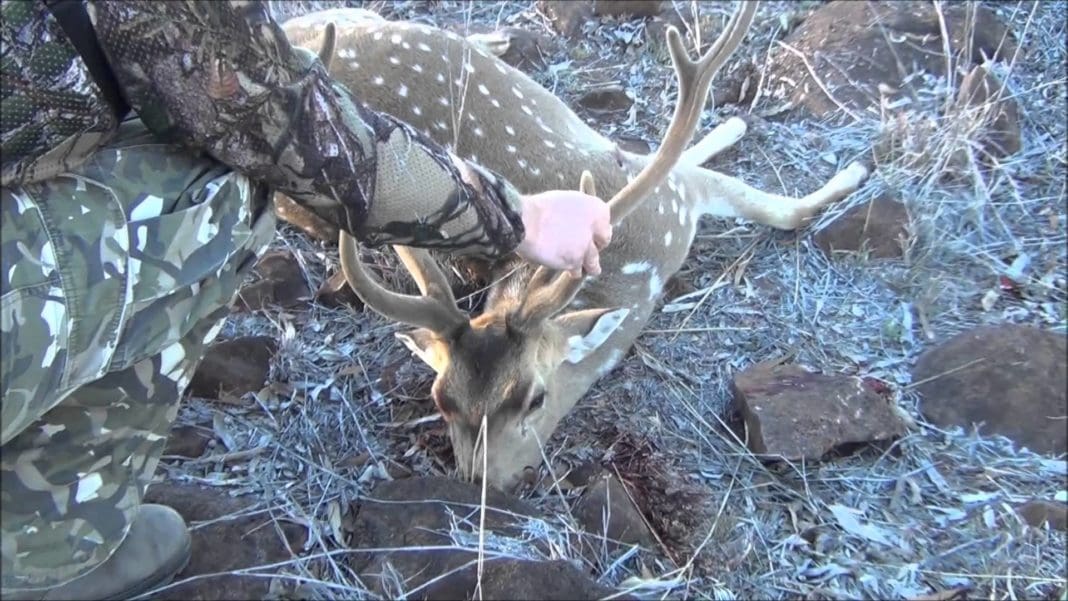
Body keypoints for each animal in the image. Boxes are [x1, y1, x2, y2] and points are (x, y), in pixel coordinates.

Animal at [278, 3, 871, 492]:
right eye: (441, 399)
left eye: (534, 398)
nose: (484, 485)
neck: (636, 275)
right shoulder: (672, 195)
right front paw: (742, 127)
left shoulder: (671, 200)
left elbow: (781, 209)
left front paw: (853, 170)